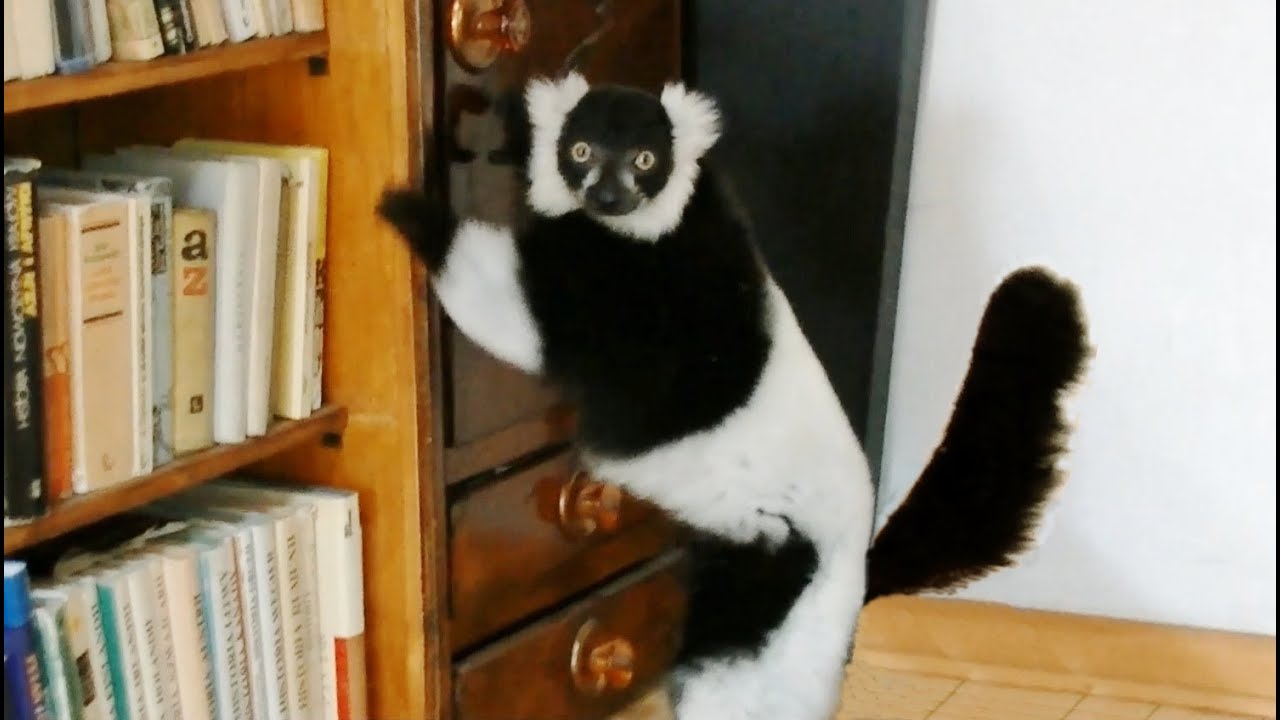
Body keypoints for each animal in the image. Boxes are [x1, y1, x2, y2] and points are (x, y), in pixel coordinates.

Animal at [379, 72, 1090, 720]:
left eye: (644, 160)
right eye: (579, 149)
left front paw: (409, 209)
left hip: (779, 591)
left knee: (738, 685)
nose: (607, 196)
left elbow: (512, 316)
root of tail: (855, 563)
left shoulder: (624, 282)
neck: (669, 216)